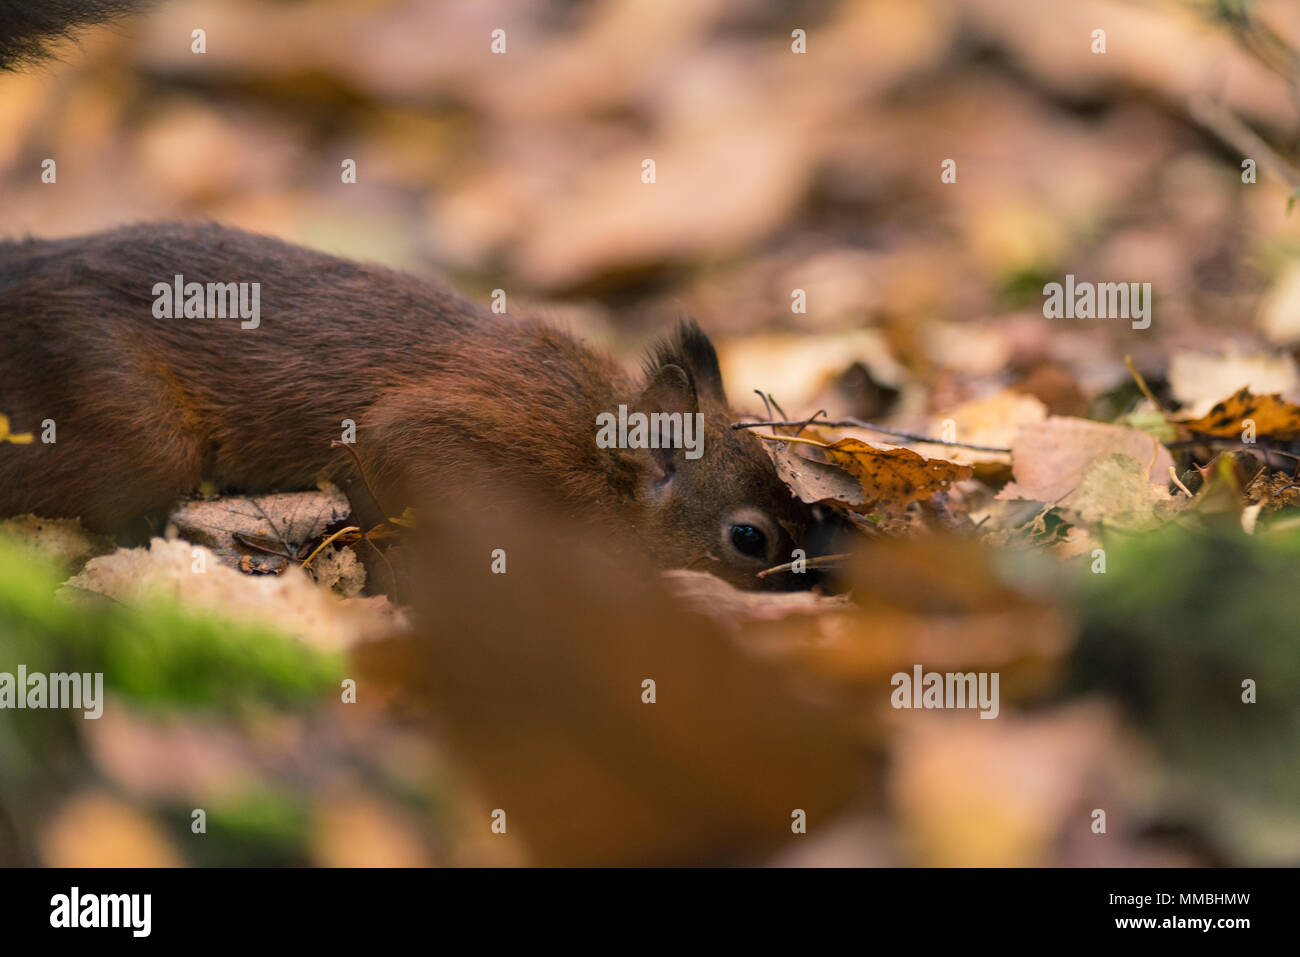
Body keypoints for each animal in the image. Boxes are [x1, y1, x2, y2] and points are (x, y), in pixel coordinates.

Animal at [0, 5, 819, 591]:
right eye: (750, 540)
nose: (802, 591)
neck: (601, 451)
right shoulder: (472, 437)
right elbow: (393, 456)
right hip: (118, 403)